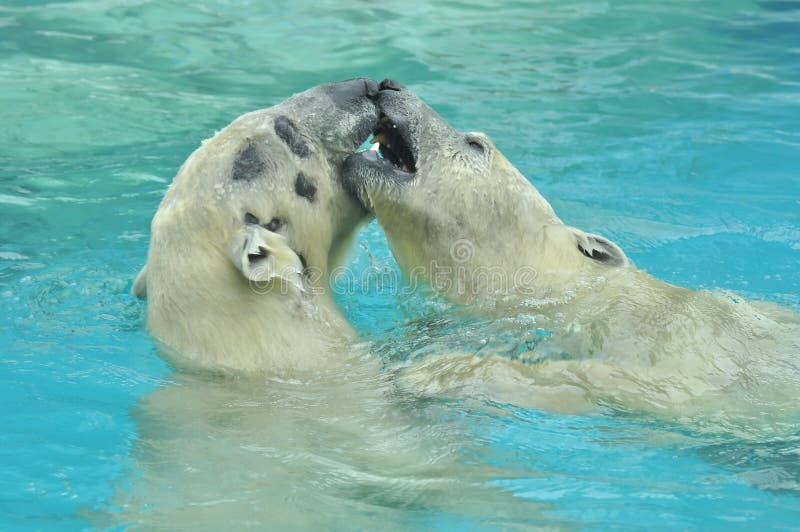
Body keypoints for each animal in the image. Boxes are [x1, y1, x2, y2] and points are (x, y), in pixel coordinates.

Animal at [342, 81, 800, 420]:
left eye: (476, 144)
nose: (390, 84)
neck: (567, 298)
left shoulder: (680, 347)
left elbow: (618, 382)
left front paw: (435, 371)